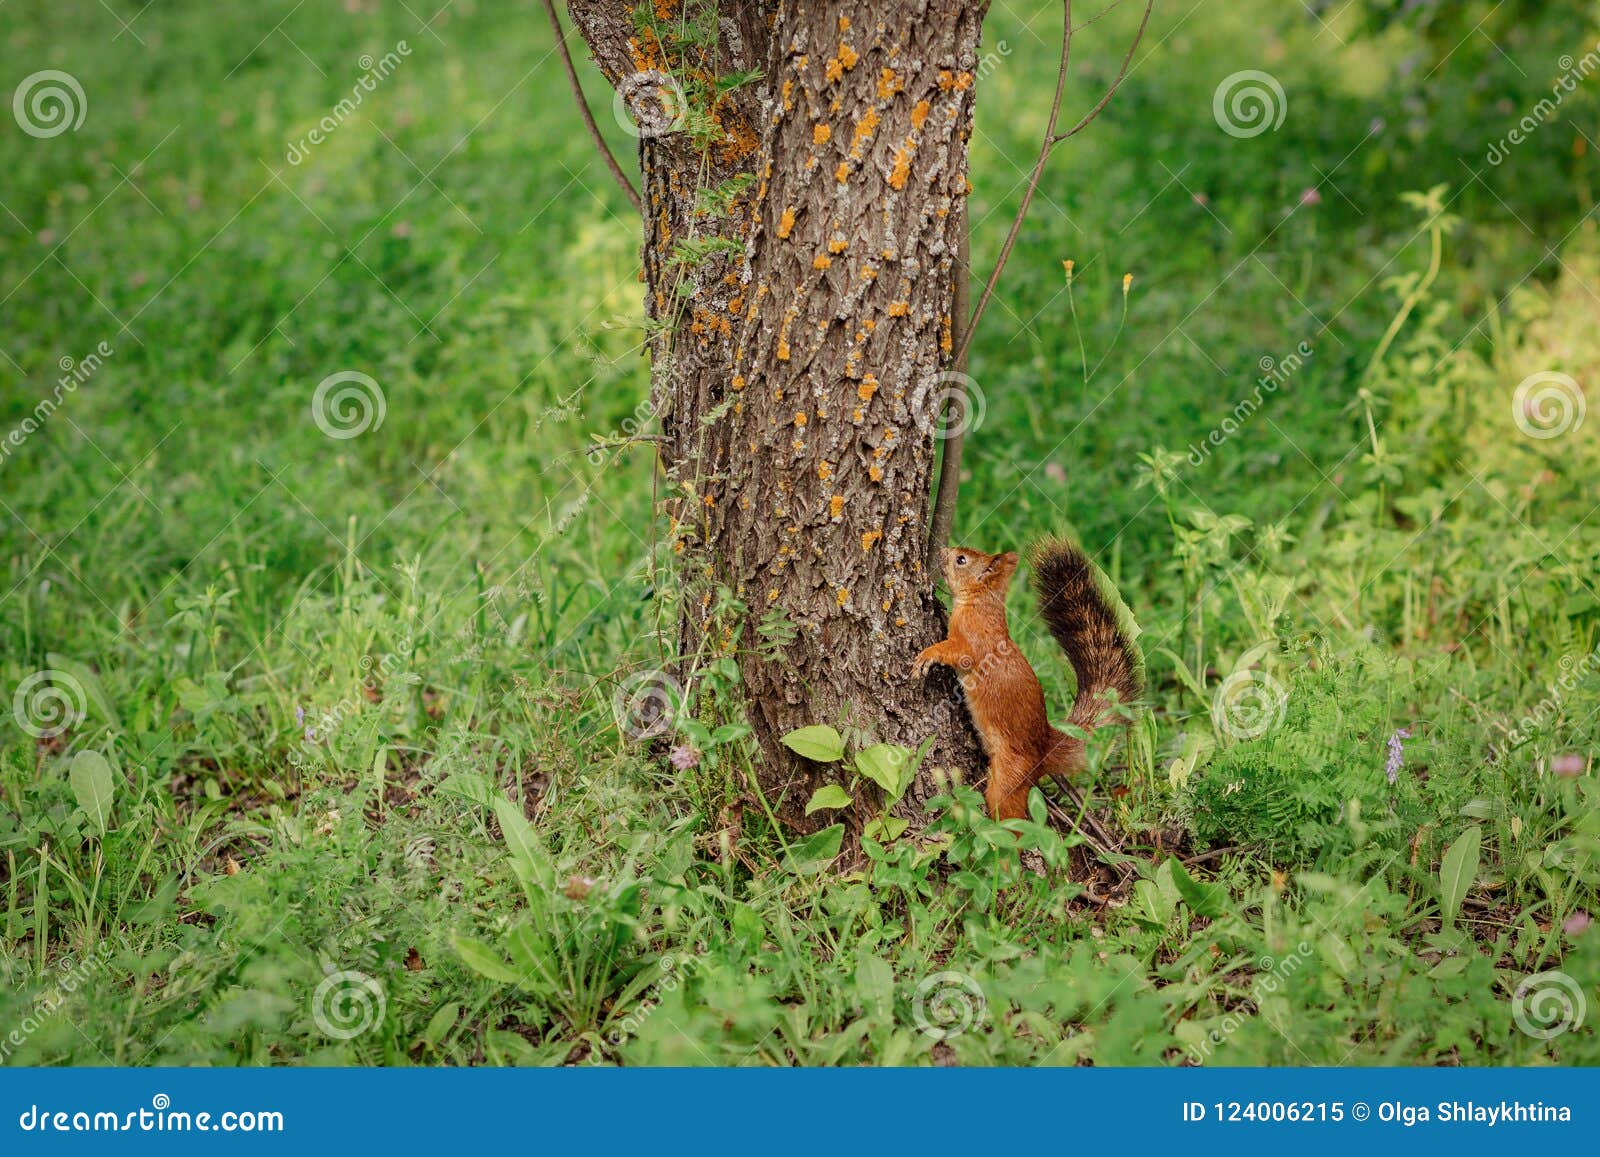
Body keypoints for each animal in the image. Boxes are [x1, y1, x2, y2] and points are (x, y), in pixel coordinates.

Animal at [911, 538, 1142, 821]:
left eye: (961, 560)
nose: (943, 551)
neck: (979, 603)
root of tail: (1044, 749)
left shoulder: (973, 644)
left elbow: (957, 653)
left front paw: (927, 656)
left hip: (1009, 778)